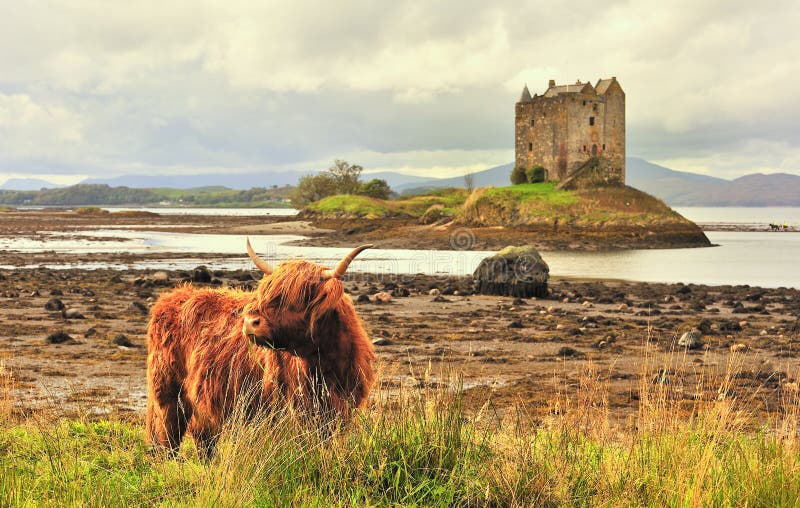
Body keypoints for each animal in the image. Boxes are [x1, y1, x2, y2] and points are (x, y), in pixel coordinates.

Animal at [145, 240, 375, 458]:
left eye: (301, 298)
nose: (250, 322)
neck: (325, 364)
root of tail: (173, 296)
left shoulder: (341, 412)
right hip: (167, 395)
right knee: (168, 441)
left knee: (204, 441)